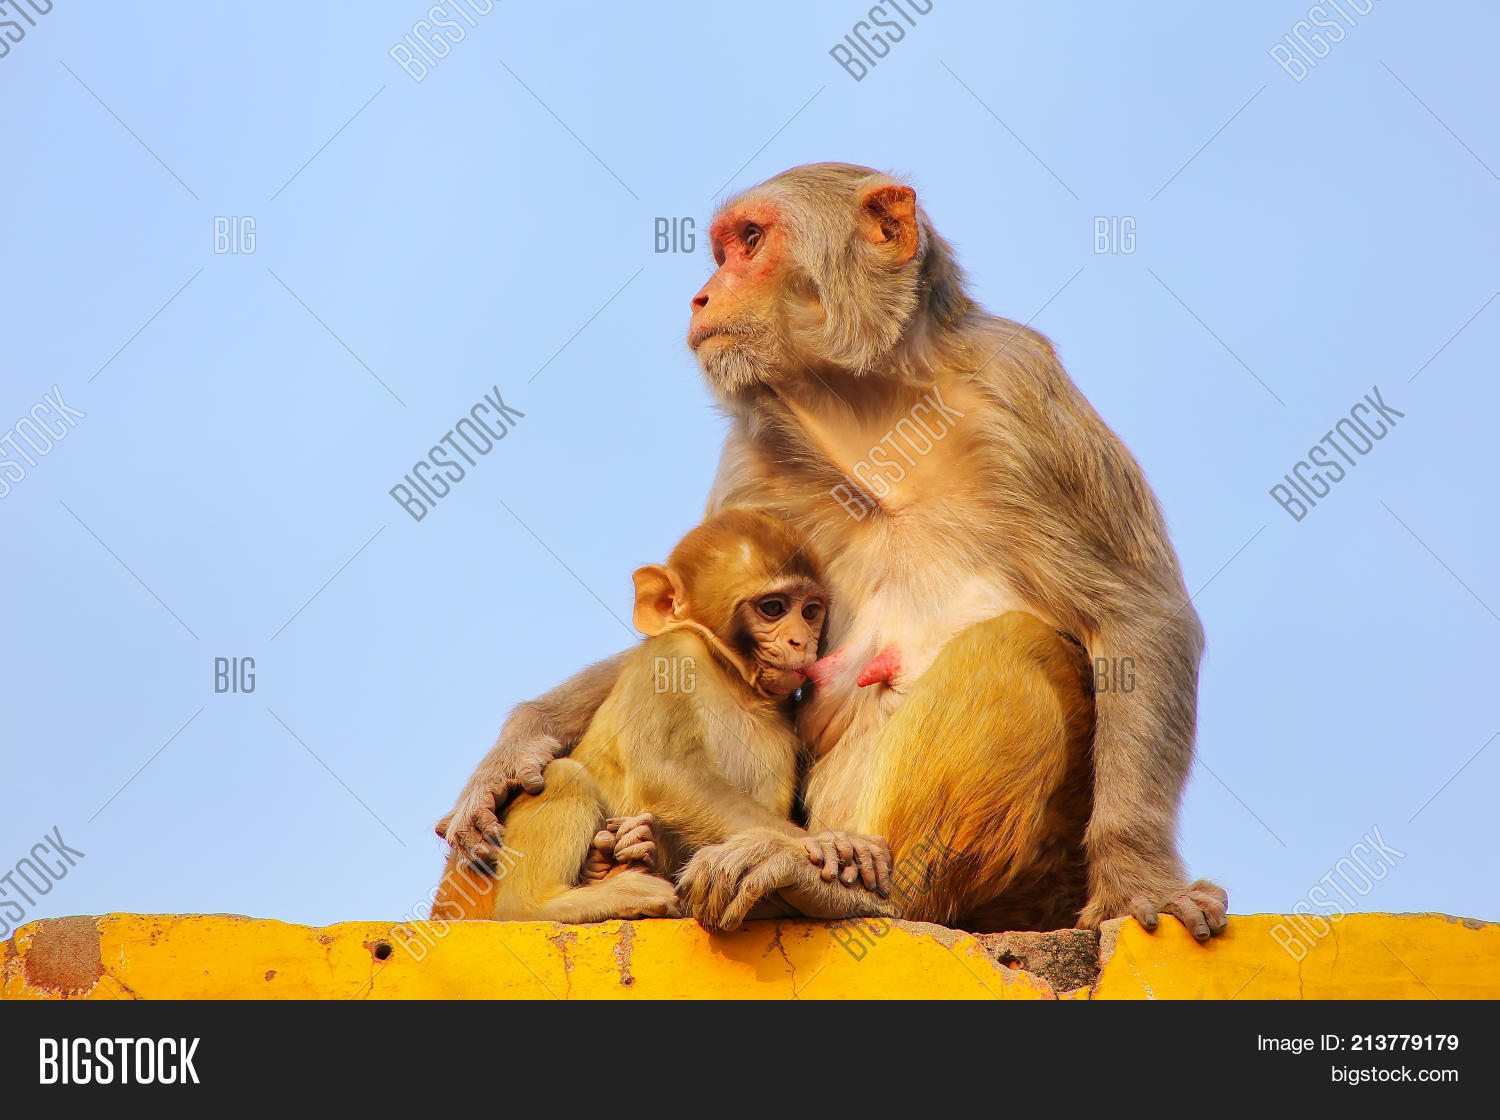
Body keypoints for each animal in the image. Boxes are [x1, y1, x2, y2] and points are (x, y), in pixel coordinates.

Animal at [431, 508, 895, 924]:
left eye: (811, 611)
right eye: (774, 608)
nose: (802, 641)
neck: (730, 677)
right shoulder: (671, 656)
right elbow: (667, 773)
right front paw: (830, 841)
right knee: (563, 774)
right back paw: (549, 902)